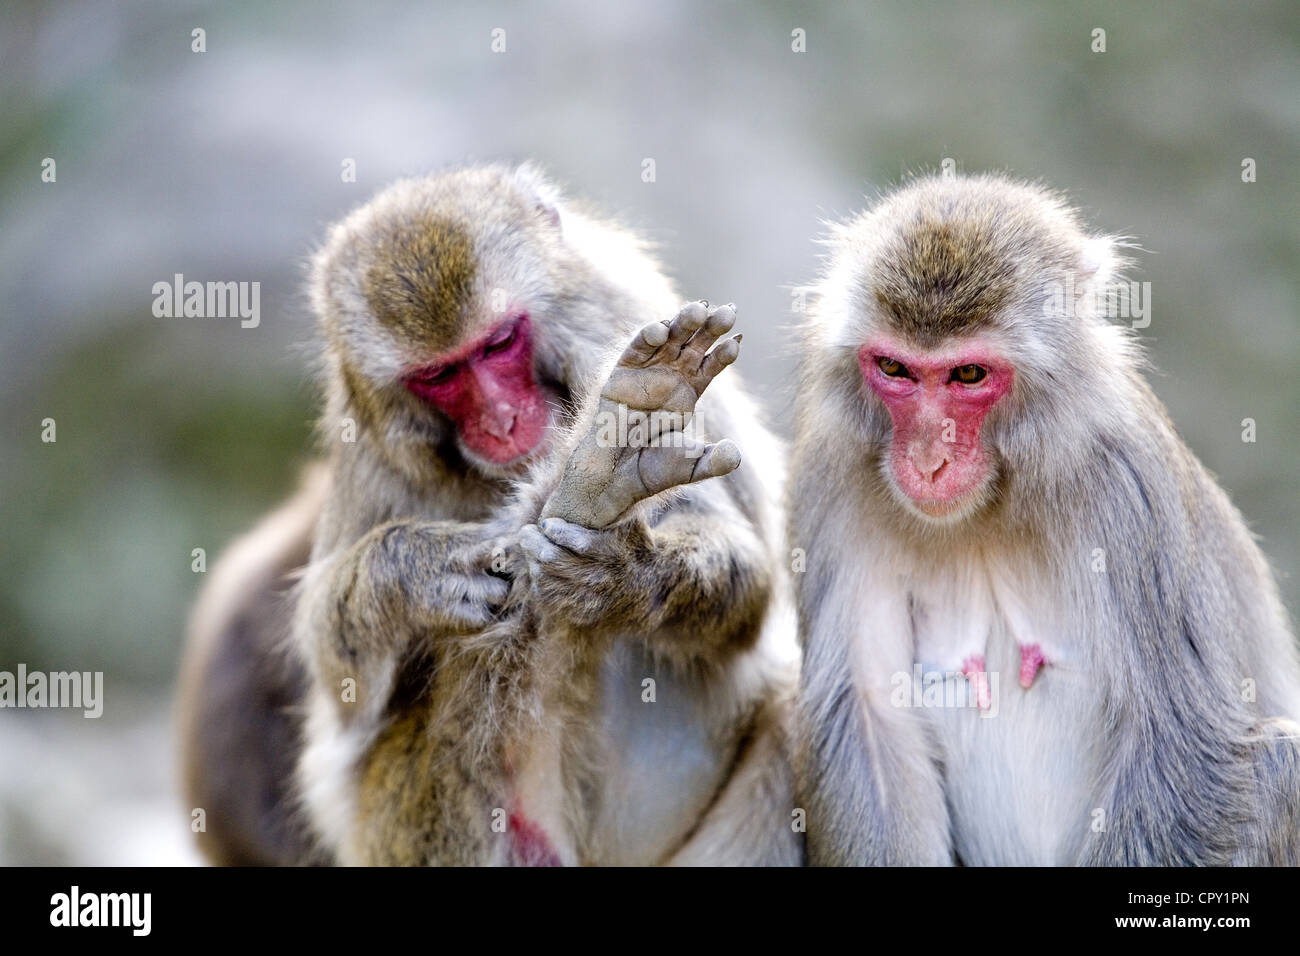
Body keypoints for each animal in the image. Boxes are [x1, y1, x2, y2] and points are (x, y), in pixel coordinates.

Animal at [179, 163, 801, 866]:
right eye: (439, 376)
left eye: (499, 343)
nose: (502, 421)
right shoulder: (370, 447)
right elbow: (342, 690)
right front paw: (414, 574)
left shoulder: (616, 314)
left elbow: (748, 572)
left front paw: (620, 574)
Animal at [789, 172, 1300, 866]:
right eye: (894, 369)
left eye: (968, 374)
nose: (926, 461)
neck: (989, 508)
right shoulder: (833, 480)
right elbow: (869, 716)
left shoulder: (1130, 489)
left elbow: (1181, 741)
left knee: (1278, 764)